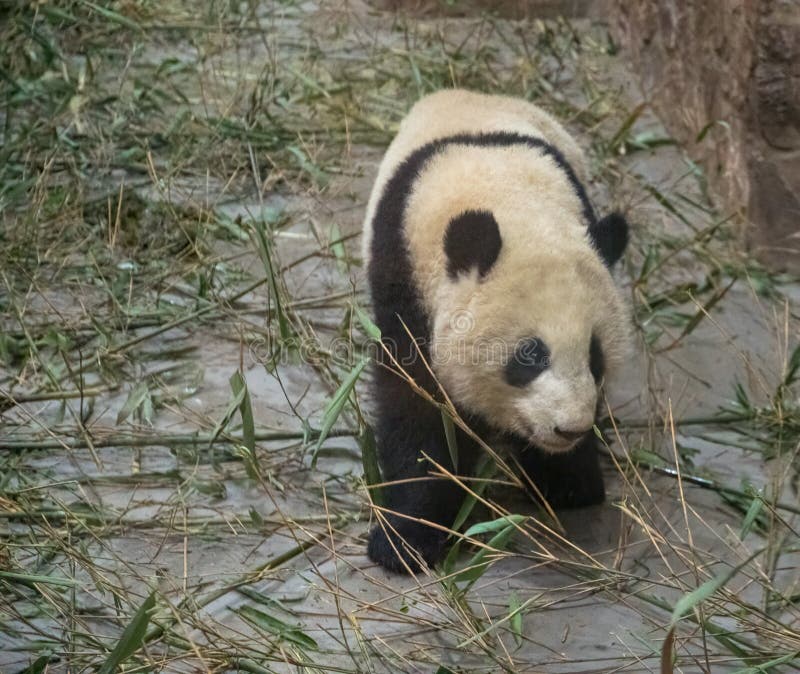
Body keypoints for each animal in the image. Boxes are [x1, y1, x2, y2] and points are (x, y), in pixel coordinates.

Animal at [362, 89, 630, 574]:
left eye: (595, 358)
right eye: (530, 355)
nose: (570, 429)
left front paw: (570, 484)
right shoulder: (403, 281)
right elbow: (418, 407)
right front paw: (406, 540)